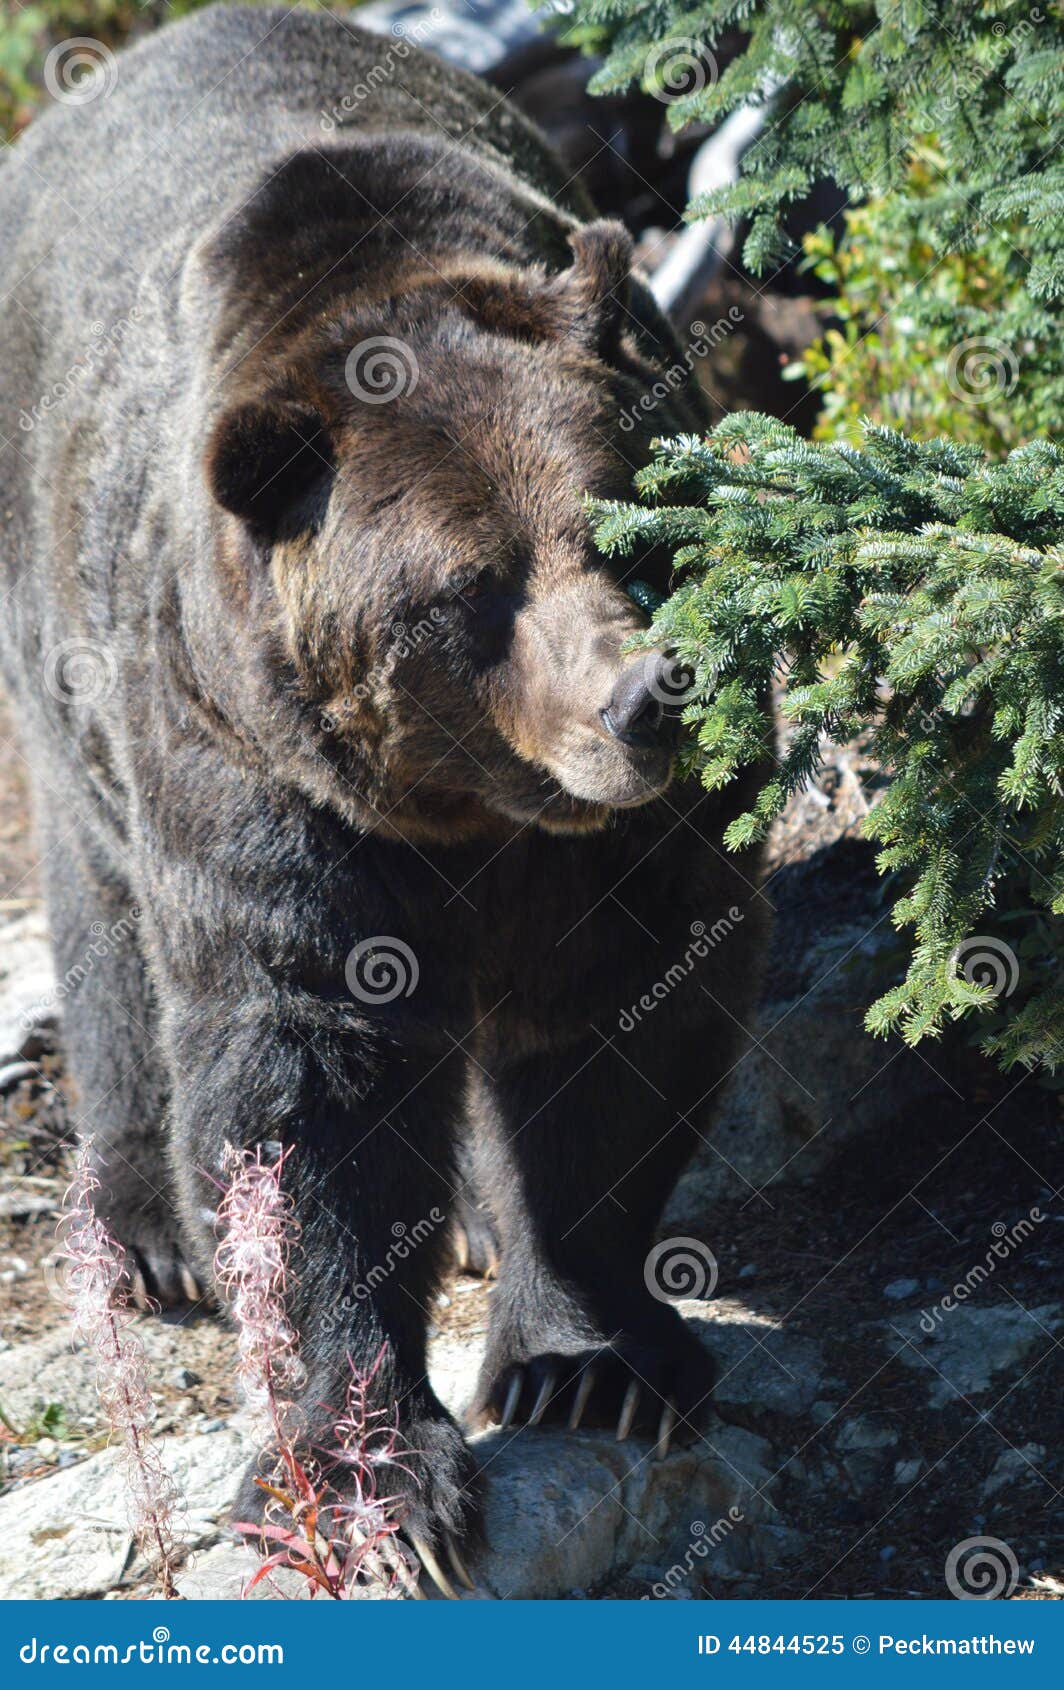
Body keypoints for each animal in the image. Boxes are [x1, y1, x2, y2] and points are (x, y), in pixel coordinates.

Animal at [0, 5, 766, 1579]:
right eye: (472, 585)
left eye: (619, 516)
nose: (646, 695)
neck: (476, 801)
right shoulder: (264, 778)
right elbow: (305, 1085)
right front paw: (379, 1491)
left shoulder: (623, 843)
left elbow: (624, 1017)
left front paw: (589, 1359)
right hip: (63, 649)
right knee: (109, 931)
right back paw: (149, 1233)